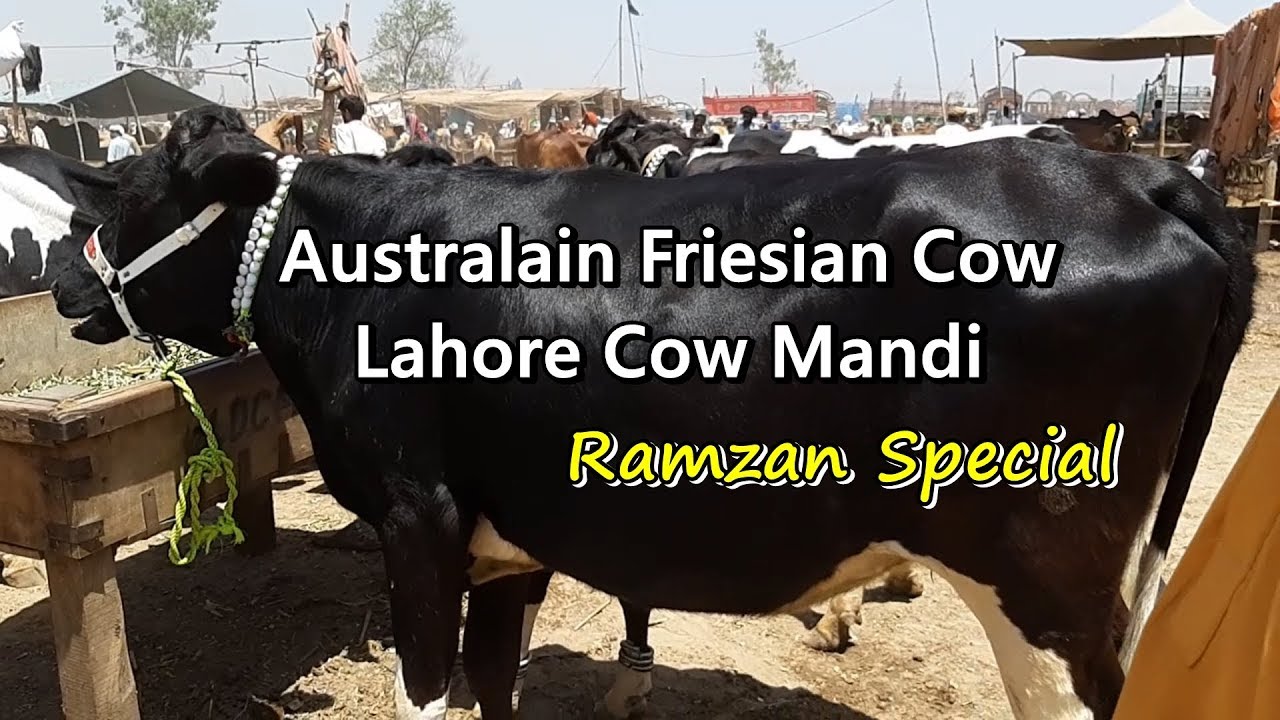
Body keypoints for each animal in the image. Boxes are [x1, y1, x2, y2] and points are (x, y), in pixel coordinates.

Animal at [49, 104, 1253, 720]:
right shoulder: (506, 537)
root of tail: (1139, 179)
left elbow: (428, 695)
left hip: (1042, 578)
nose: (60, 277)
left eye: (132, 192)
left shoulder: (415, 517)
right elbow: (494, 690)